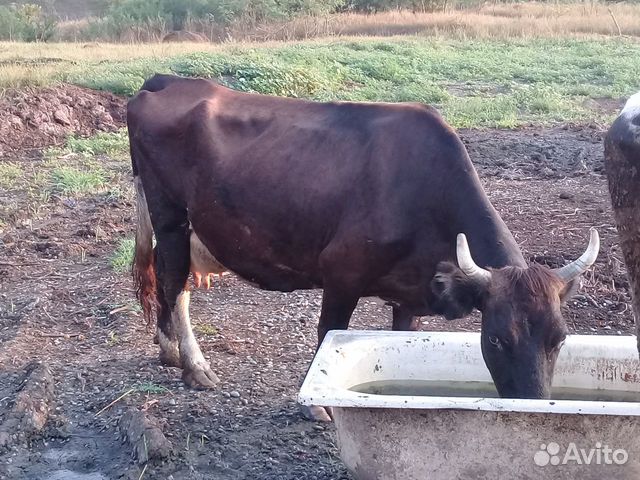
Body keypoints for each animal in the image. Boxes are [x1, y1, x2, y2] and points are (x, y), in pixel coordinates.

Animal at [128, 73, 599, 421]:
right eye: (498, 339)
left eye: (560, 338)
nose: (533, 406)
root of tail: (166, 80)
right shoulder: (341, 273)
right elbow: (325, 335)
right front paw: (316, 406)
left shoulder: (411, 295)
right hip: (170, 215)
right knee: (174, 284)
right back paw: (194, 367)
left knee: (163, 278)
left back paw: (167, 350)